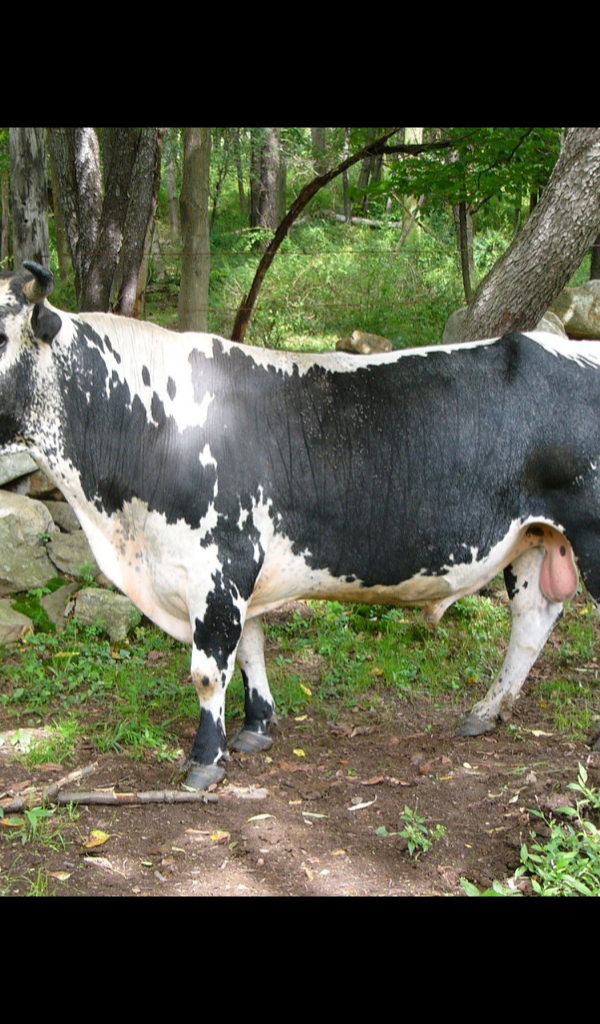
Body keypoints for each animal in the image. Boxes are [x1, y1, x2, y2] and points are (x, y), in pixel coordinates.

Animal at [1, 262, 598, 789]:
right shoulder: (233, 572)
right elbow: (251, 647)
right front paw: (256, 726)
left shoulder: (220, 562)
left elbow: (208, 669)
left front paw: (205, 759)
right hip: (535, 539)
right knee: (531, 621)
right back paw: (487, 710)